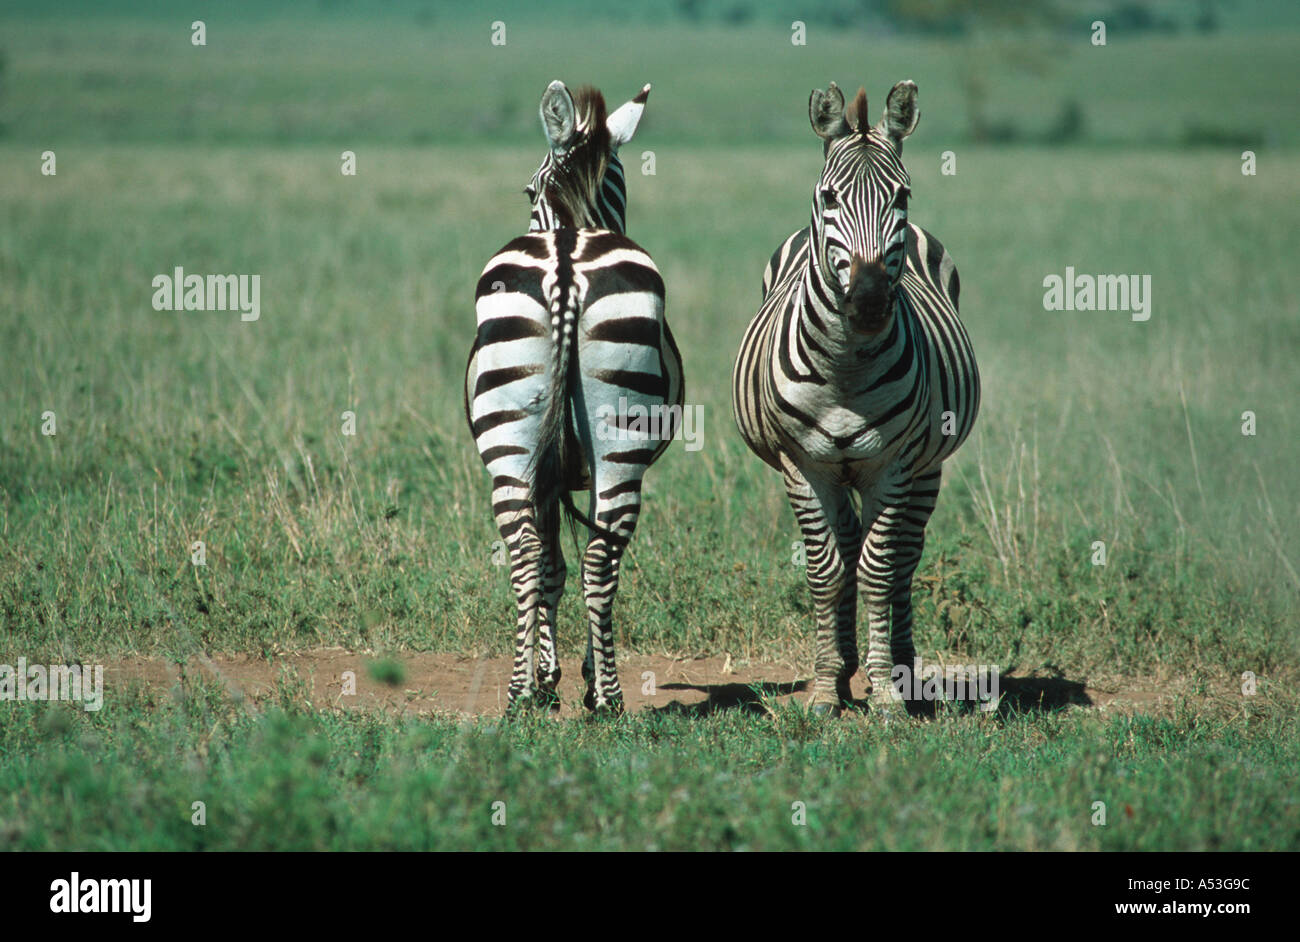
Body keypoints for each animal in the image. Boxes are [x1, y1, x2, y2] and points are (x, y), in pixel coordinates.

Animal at [464, 81, 684, 714]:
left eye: (526, 189)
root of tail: (565, 256)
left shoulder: (553, 474)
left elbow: (553, 565)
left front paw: (550, 675)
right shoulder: (558, 474)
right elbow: (558, 564)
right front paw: (558, 675)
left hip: (527, 447)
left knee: (543, 558)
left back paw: (543, 696)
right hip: (603, 450)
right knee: (590, 560)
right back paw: (593, 697)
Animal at [732, 80, 979, 716]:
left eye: (902, 196)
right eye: (828, 198)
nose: (867, 302)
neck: (844, 369)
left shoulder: (894, 465)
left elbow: (878, 570)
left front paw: (887, 691)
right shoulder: (802, 465)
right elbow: (828, 572)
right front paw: (825, 689)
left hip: (927, 467)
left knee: (907, 557)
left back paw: (902, 668)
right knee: (845, 549)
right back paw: (843, 670)